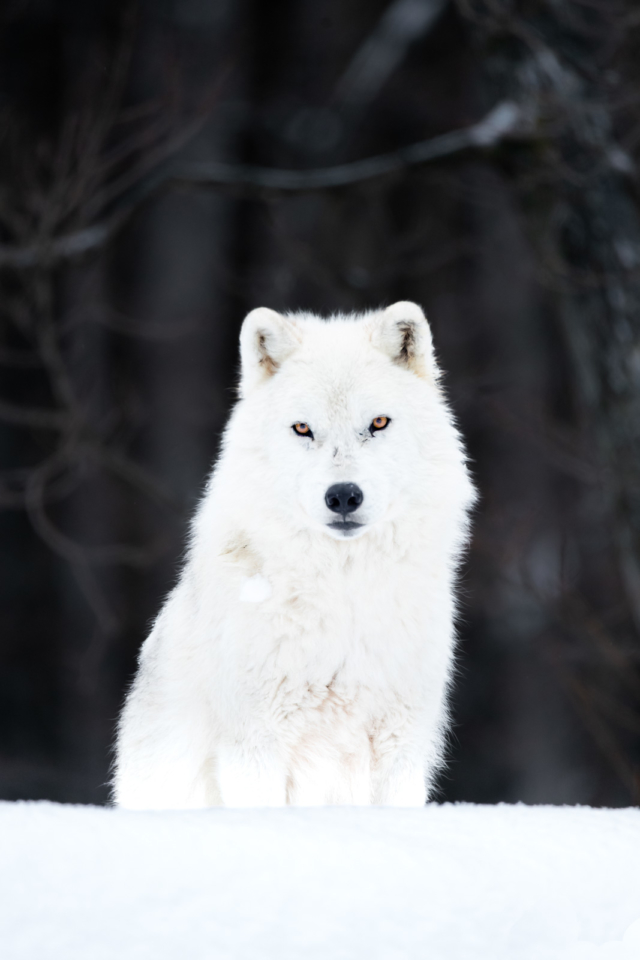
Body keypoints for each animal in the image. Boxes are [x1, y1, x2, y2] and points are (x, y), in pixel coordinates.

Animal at [114, 302, 475, 808]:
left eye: (378, 424)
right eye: (303, 429)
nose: (343, 495)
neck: (344, 597)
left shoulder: (401, 747)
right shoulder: (254, 749)